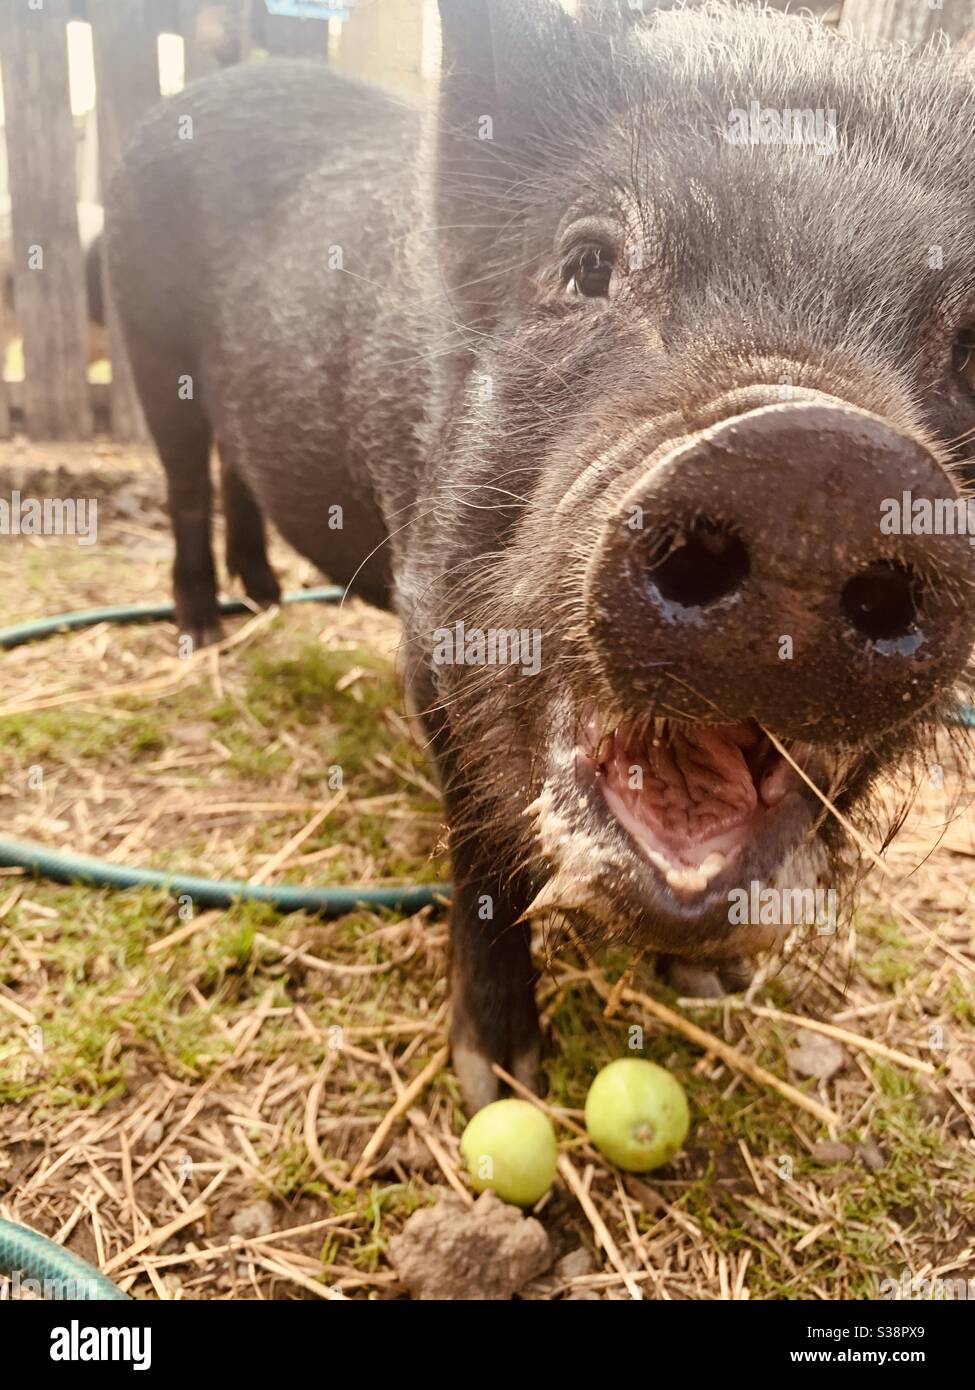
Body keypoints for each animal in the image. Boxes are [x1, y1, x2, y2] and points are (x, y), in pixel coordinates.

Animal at [106, 0, 975, 1113]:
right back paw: (204, 639)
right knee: (186, 485)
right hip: (148, 343)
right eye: (588, 263)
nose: (814, 461)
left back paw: (259, 605)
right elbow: (482, 844)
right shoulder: (433, 627)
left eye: (973, 344)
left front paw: (709, 982)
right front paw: (497, 1084)